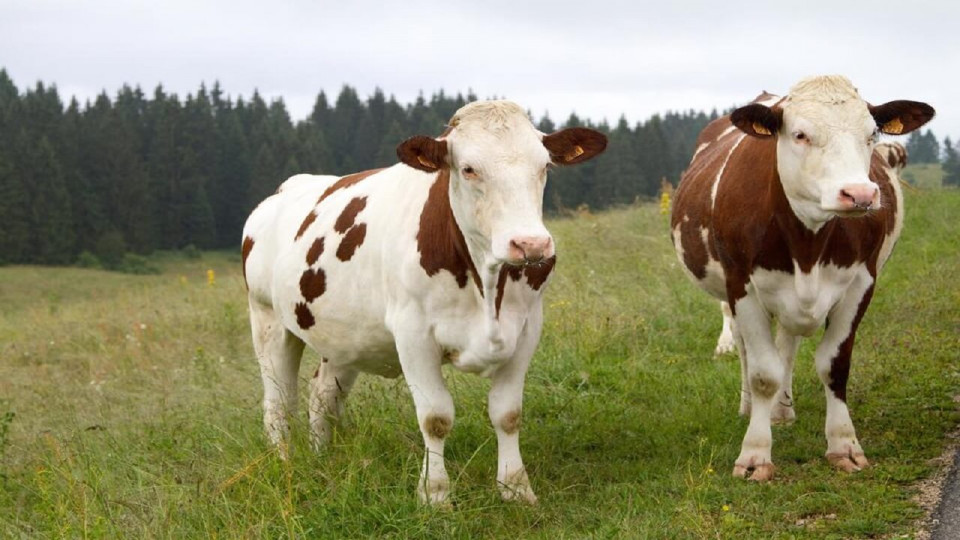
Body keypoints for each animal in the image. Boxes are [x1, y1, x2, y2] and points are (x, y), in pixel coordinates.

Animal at [241, 100, 607, 504]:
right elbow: (436, 417)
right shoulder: (413, 334)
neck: (487, 283)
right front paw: (435, 495)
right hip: (267, 318)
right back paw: (286, 466)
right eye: (468, 169)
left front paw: (516, 489)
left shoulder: (527, 329)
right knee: (278, 403)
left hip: (345, 337)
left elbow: (508, 413)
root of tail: (285, 188)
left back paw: (323, 459)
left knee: (322, 396)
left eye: (544, 166)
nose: (530, 245)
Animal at [670, 75, 933, 481]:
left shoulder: (862, 282)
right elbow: (763, 373)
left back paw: (782, 409)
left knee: (787, 345)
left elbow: (833, 365)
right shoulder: (741, 285)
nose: (859, 194)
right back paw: (751, 407)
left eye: (871, 134)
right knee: (747, 350)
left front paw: (844, 445)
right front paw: (755, 455)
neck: (807, 242)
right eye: (800, 135)